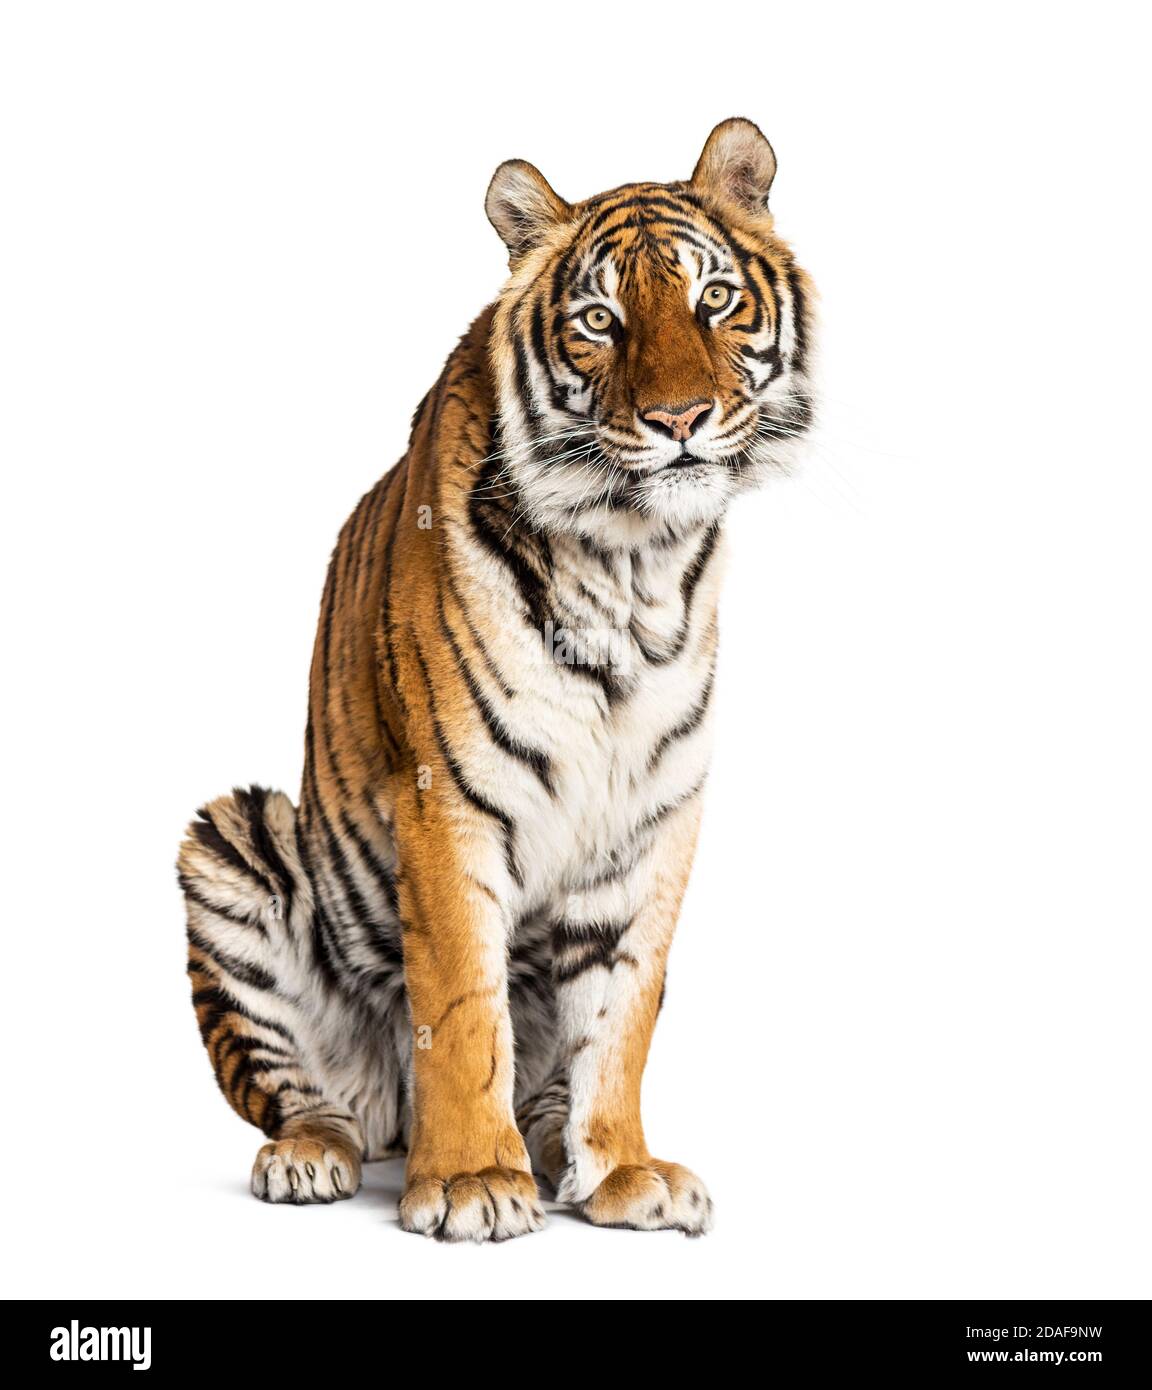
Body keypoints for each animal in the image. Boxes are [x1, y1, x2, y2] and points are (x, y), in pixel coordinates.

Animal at [177, 117, 815, 1241]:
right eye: (601, 320)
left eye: (714, 300)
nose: (681, 418)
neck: (635, 566)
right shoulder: (448, 801)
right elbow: (462, 1003)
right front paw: (473, 1181)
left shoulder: (653, 820)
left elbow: (622, 1015)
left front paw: (621, 1171)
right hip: (233, 838)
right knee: (305, 1093)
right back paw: (313, 1157)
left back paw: (560, 1151)